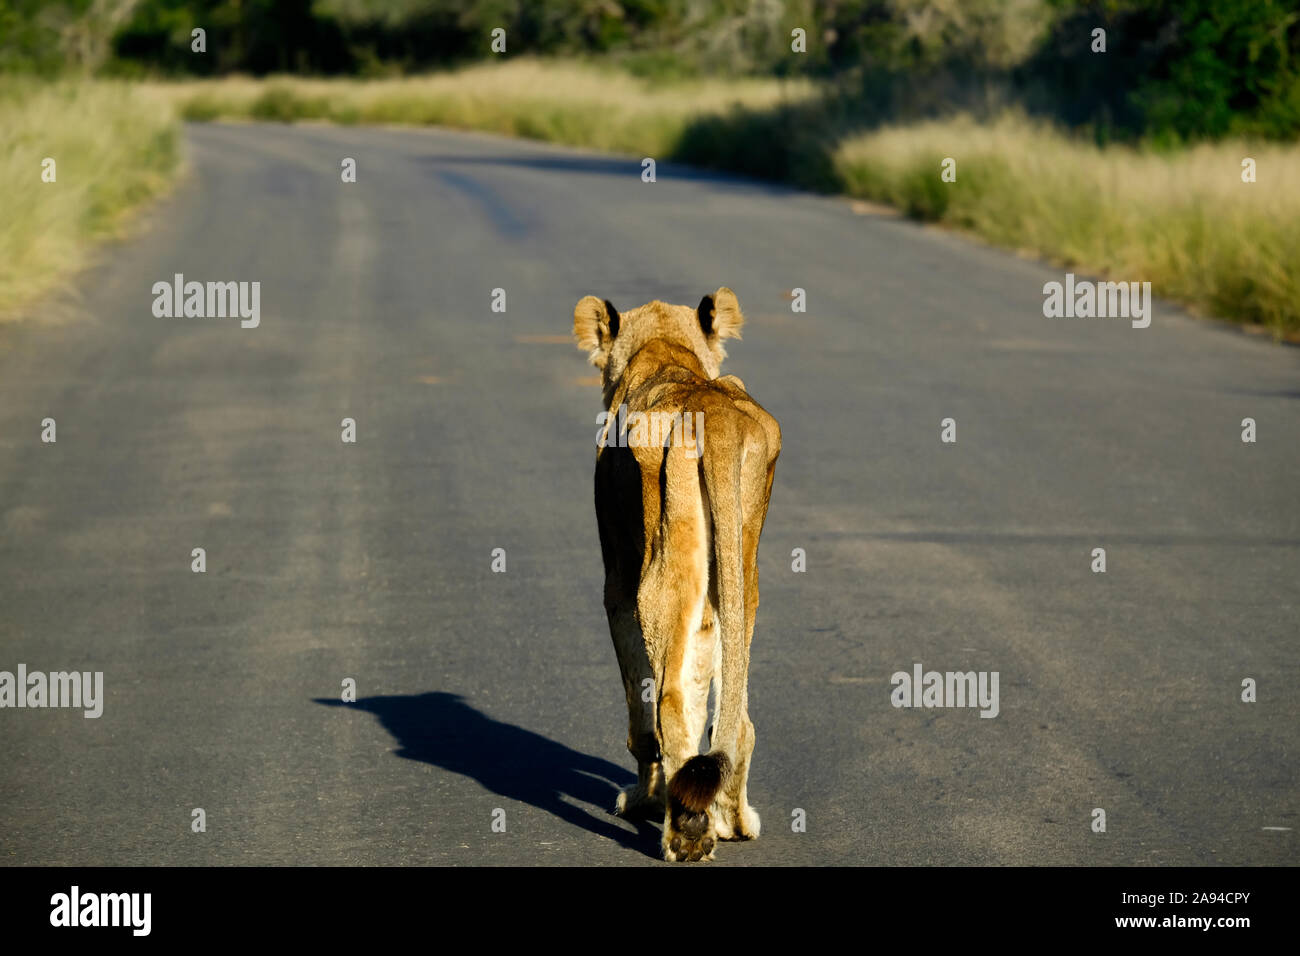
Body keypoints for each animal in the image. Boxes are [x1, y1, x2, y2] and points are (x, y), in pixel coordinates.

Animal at [573, 287, 780, 862]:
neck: (666, 354)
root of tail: (712, 410)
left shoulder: (618, 581)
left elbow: (642, 707)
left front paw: (643, 799)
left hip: (658, 573)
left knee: (666, 700)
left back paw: (685, 831)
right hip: (742, 561)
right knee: (738, 714)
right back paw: (732, 820)